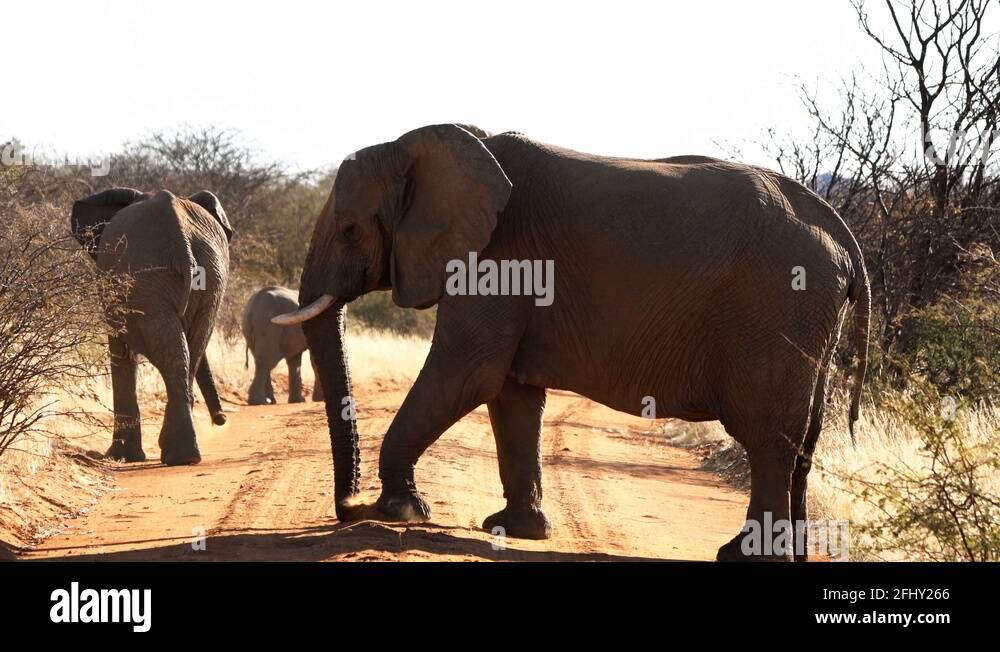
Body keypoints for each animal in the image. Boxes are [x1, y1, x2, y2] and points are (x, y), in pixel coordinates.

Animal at [71, 187, 233, 466]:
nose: (221, 419)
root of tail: (182, 241)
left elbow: (120, 350)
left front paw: (121, 456)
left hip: (144, 280)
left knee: (173, 351)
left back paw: (176, 455)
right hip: (209, 280)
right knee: (190, 351)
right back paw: (184, 456)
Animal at [275, 124, 870, 561]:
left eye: (350, 229)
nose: (348, 507)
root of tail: (843, 234)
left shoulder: (500, 256)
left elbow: (468, 373)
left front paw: (399, 511)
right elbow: (510, 393)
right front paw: (514, 529)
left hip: (777, 306)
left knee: (767, 437)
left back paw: (743, 556)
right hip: (807, 318)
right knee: (803, 442)